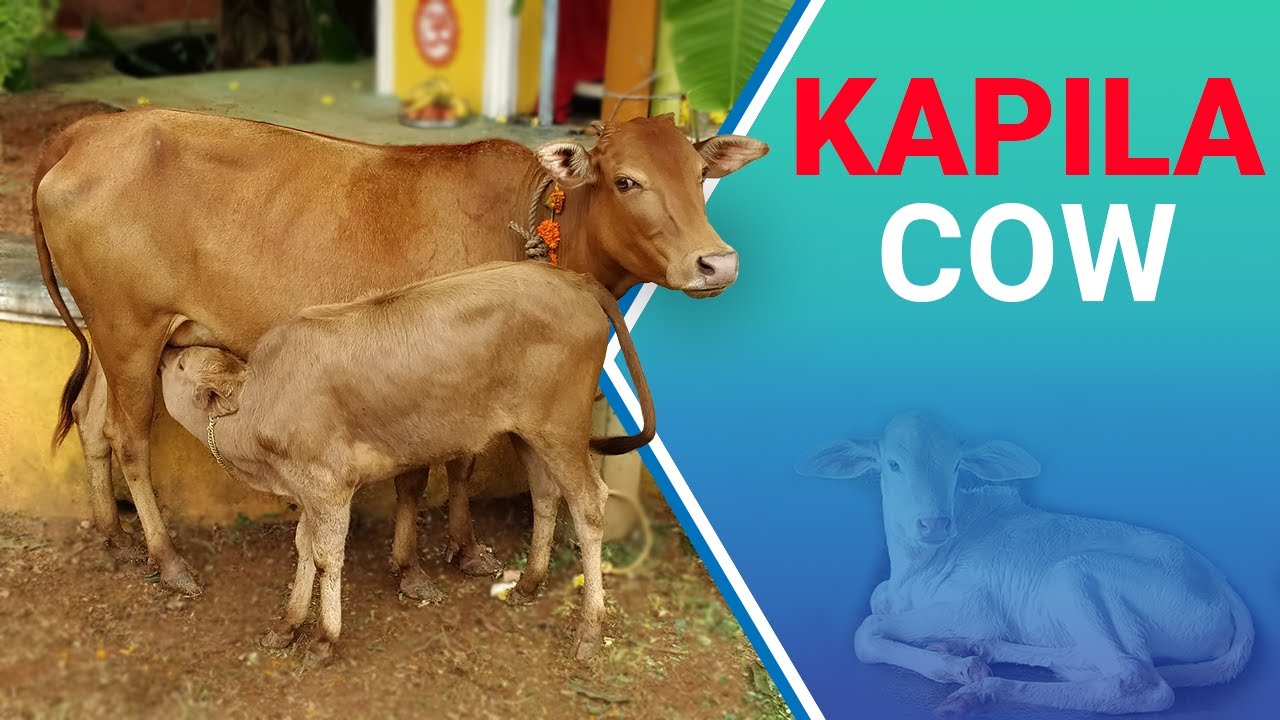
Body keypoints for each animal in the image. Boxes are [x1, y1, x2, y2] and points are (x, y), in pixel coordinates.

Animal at [33, 107, 767, 597]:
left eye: (700, 172)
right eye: (626, 181)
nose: (717, 262)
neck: (535, 224)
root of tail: (90, 130)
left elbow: (462, 463)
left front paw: (464, 551)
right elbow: (422, 471)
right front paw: (412, 569)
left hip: (114, 331)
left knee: (93, 422)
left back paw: (112, 536)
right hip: (131, 327)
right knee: (130, 436)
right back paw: (168, 559)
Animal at [156, 261, 653, 662]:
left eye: (181, 367)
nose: (165, 352)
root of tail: (571, 278)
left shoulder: (329, 484)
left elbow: (326, 556)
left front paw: (324, 639)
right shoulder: (307, 489)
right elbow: (303, 546)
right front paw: (288, 625)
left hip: (562, 427)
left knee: (589, 503)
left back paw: (589, 630)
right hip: (530, 432)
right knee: (547, 494)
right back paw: (528, 583)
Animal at [795, 411, 1253, 718]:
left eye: (956, 466)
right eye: (893, 464)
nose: (935, 523)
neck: (913, 571)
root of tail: (1223, 585)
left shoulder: (973, 607)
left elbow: (866, 631)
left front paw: (955, 670)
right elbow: (874, 612)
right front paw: (959, 657)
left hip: (1072, 573)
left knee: (1139, 681)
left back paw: (985, 687)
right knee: (1090, 663)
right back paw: (978, 649)